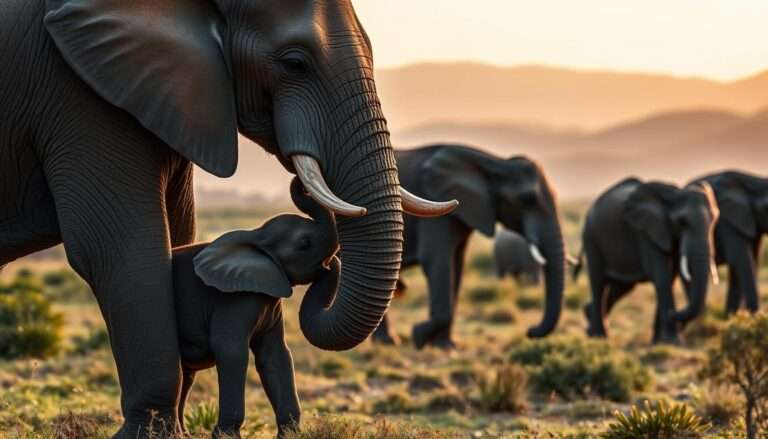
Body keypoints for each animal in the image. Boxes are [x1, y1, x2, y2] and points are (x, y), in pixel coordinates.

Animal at [174, 179, 339, 438]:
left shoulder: (269, 298)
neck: (257, 237)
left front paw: (290, 435)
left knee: (186, 376)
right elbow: (232, 351)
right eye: (304, 243)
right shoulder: (234, 300)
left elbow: (275, 355)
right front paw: (225, 436)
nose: (331, 263)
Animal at [372, 144, 567, 349]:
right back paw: (388, 342)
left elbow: (457, 265)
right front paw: (419, 336)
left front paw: (446, 346)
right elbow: (436, 261)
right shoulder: (433, 205)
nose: (530, 331)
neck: (494, 163)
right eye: (527, 199)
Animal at [576, 178, 719, 343]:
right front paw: (674, 342)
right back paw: (598, 337)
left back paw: (589, 320)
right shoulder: (647, 233)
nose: (673, 312)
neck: (674, 194)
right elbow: (662, 278)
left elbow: (670, 278)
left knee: (622, 286)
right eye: (682, 222)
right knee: (598, 283)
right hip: (591, 237)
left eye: (714, 219)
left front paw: (658, 342)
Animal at [688, 171, 768, 316]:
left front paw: (733, 316)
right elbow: (741, 261)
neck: (755, 182)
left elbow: (750, 261)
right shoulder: (729, 221)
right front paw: (754, 315)